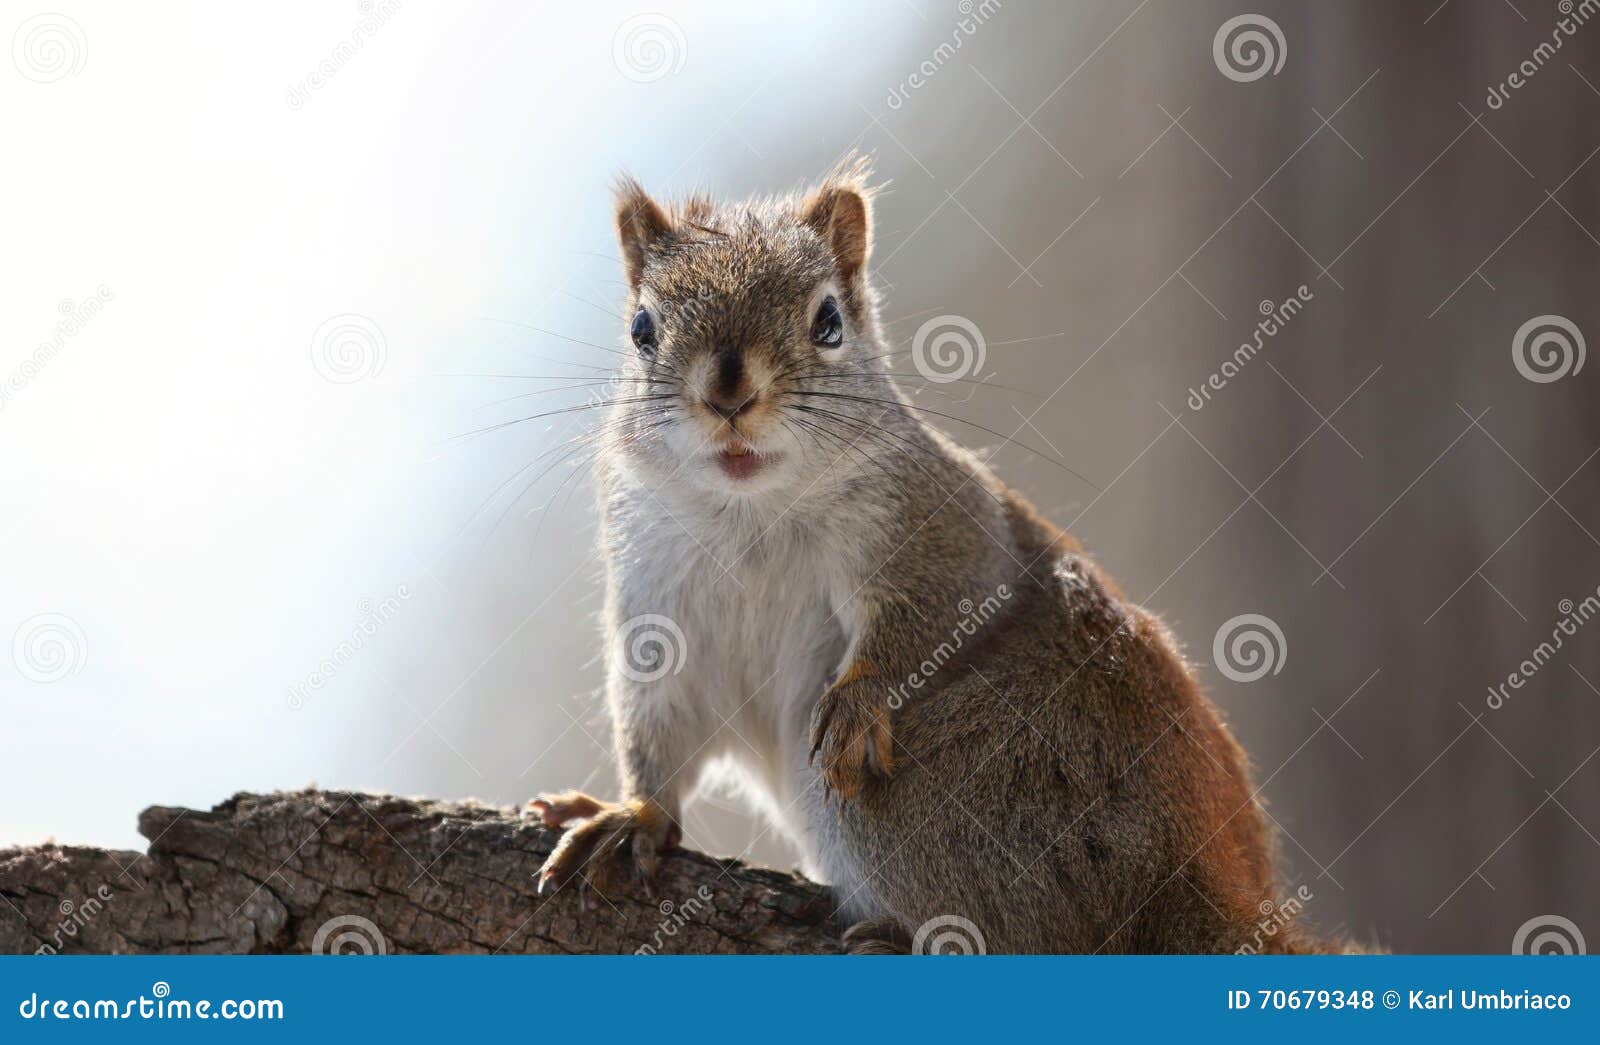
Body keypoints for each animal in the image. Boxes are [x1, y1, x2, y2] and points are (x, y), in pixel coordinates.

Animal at [530, 156, 1333, 954]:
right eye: (642, 328)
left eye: (829, 321)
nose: (728, 395)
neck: (750, 509)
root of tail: (1194, 884)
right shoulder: (660, 596)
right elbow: (663, 715)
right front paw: (635, 816)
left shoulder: (943, 521)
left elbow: (935, 605)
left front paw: (862, 695)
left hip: (959, 802)